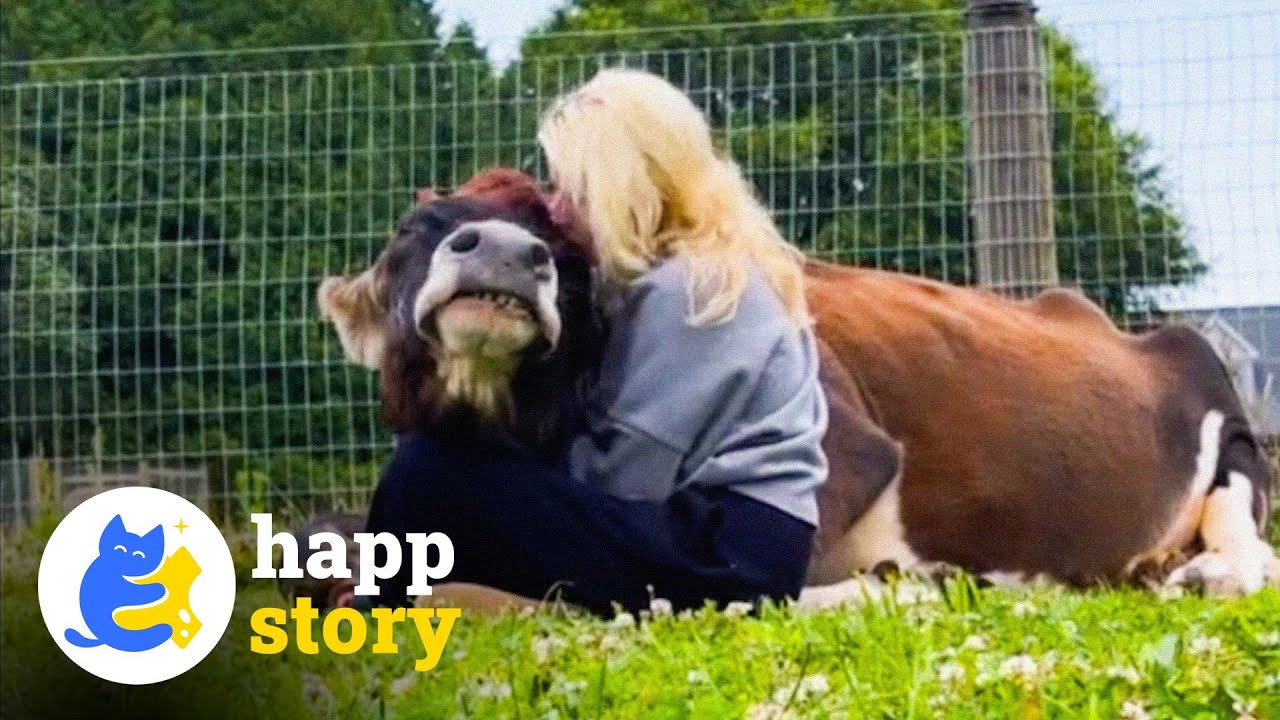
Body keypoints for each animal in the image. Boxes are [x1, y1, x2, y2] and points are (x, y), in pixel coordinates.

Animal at [317, 168, 1277, 605]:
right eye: (410, 230)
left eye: (566, 248)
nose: (511, 252)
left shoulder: (844, 445)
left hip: (1223, 409)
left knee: (1246, 533)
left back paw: (1204, 574)